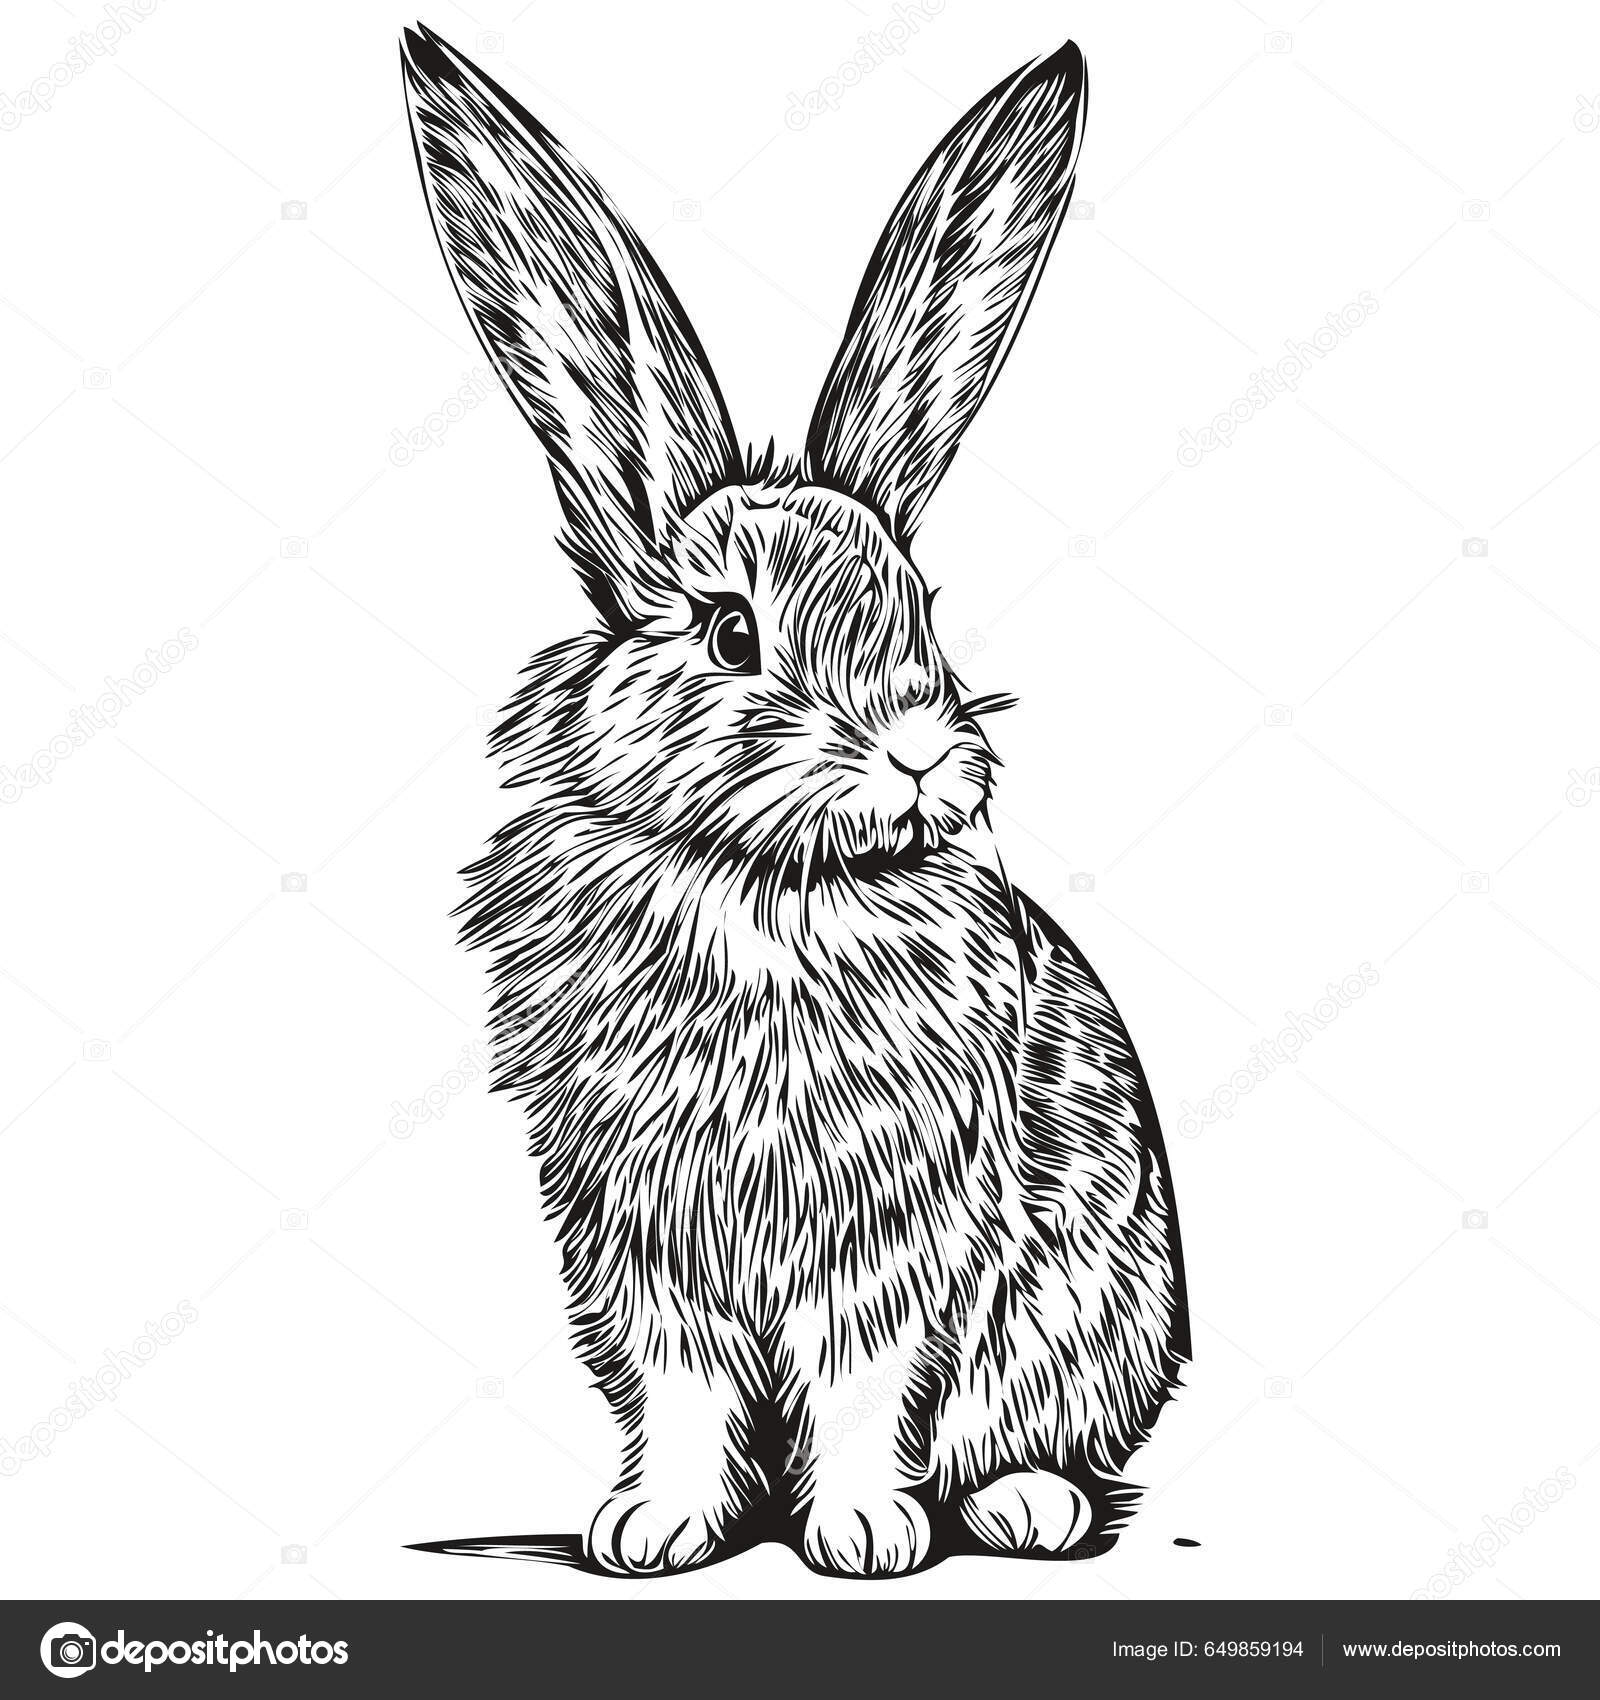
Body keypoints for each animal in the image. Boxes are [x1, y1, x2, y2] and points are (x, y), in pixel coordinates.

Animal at [402, 23, 1188, 1577]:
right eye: (728, 631)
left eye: (920, 609)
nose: (921, 759)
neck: (769, 882)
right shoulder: (643, 1242)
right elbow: (680, 1386)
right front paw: (652, 1530)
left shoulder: (892, 1243)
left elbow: (864, 1379)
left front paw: (867, 1534)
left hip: (1086, 1316)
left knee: (1019, 1431)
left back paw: (1023, 1505)